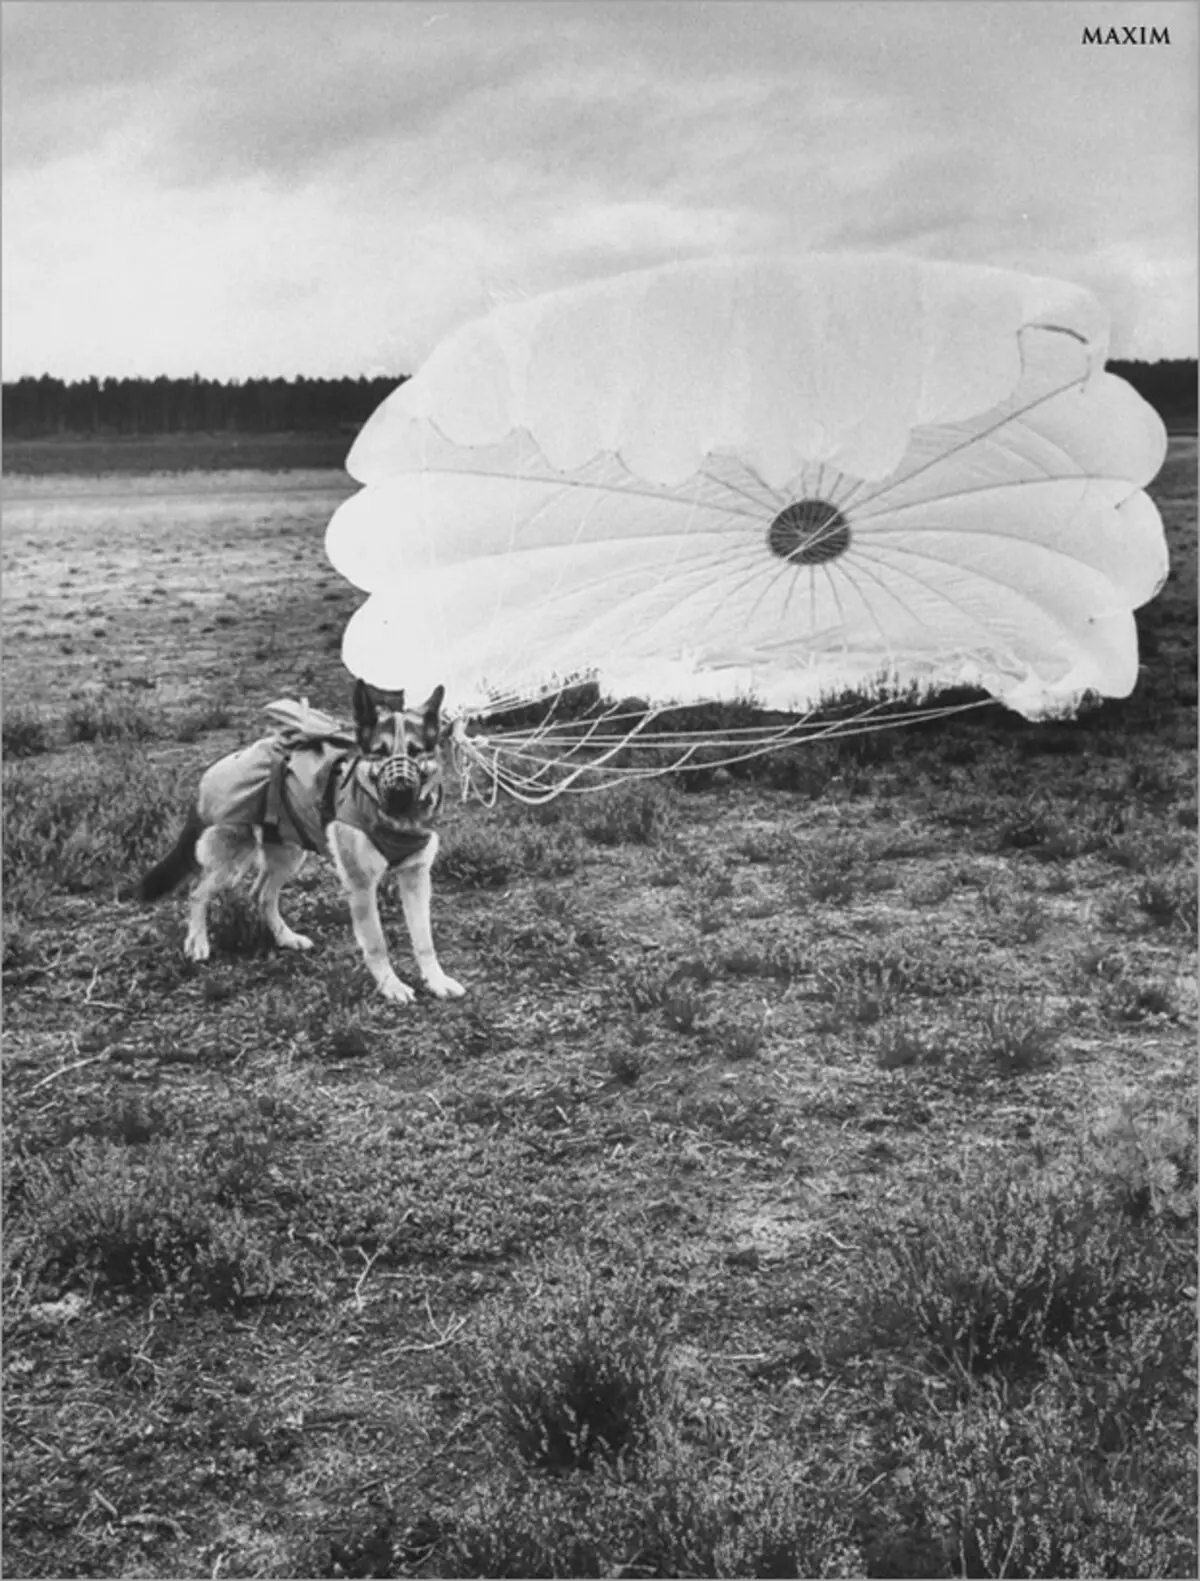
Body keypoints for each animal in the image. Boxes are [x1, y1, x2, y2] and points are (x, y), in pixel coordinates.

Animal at [135, 676, 464, 999]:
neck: (394, 820)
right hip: (233, 863)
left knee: (261, 894)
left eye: (415, 751)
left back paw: (286, 937)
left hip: (289, 856)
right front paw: (390, 986)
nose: (400, 789)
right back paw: (198, 942)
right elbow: (376, 943)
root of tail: (216, 771)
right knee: (198, 892)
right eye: (379, 752)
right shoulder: (361, 886)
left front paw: (436, 981)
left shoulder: (416, 880)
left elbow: (424, 940)